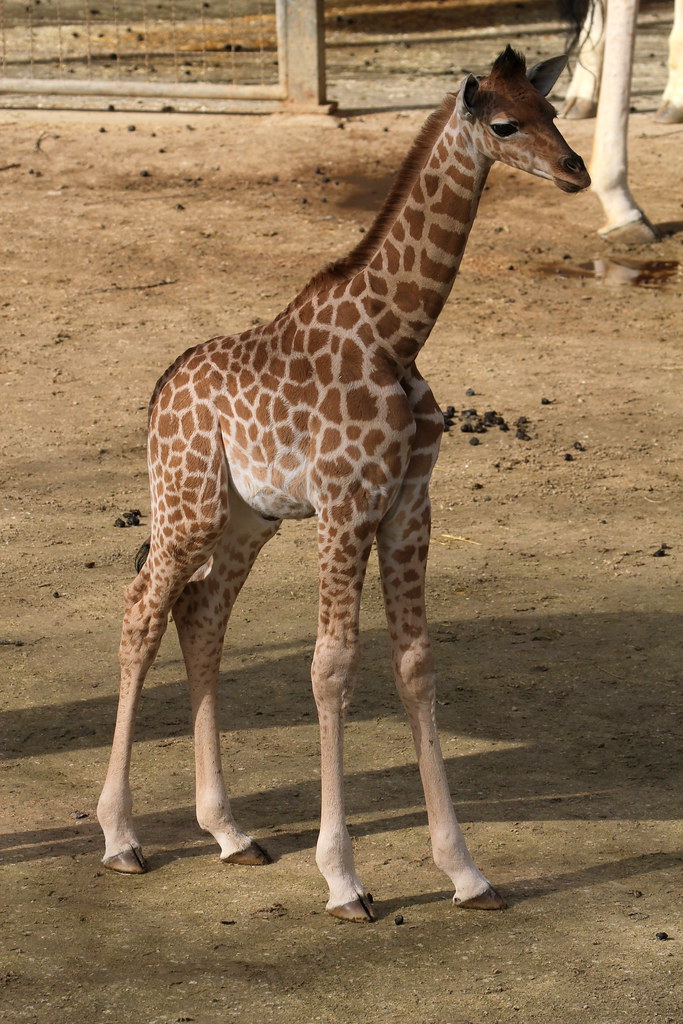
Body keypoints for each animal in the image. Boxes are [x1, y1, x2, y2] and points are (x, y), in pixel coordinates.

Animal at [97, 46, 590, 922]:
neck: (394, 337)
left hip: (246, 519)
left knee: (200, 613)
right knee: (141, 611)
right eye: (504, 124)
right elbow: (330, 667)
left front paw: (466, 872)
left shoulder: (407, 509)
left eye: (553, 109)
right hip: (187, 503)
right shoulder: (344, 504)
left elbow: (415, 665)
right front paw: (342, 879)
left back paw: (229, 831)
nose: (575, 170)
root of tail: (160, 387)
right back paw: (120, 838)